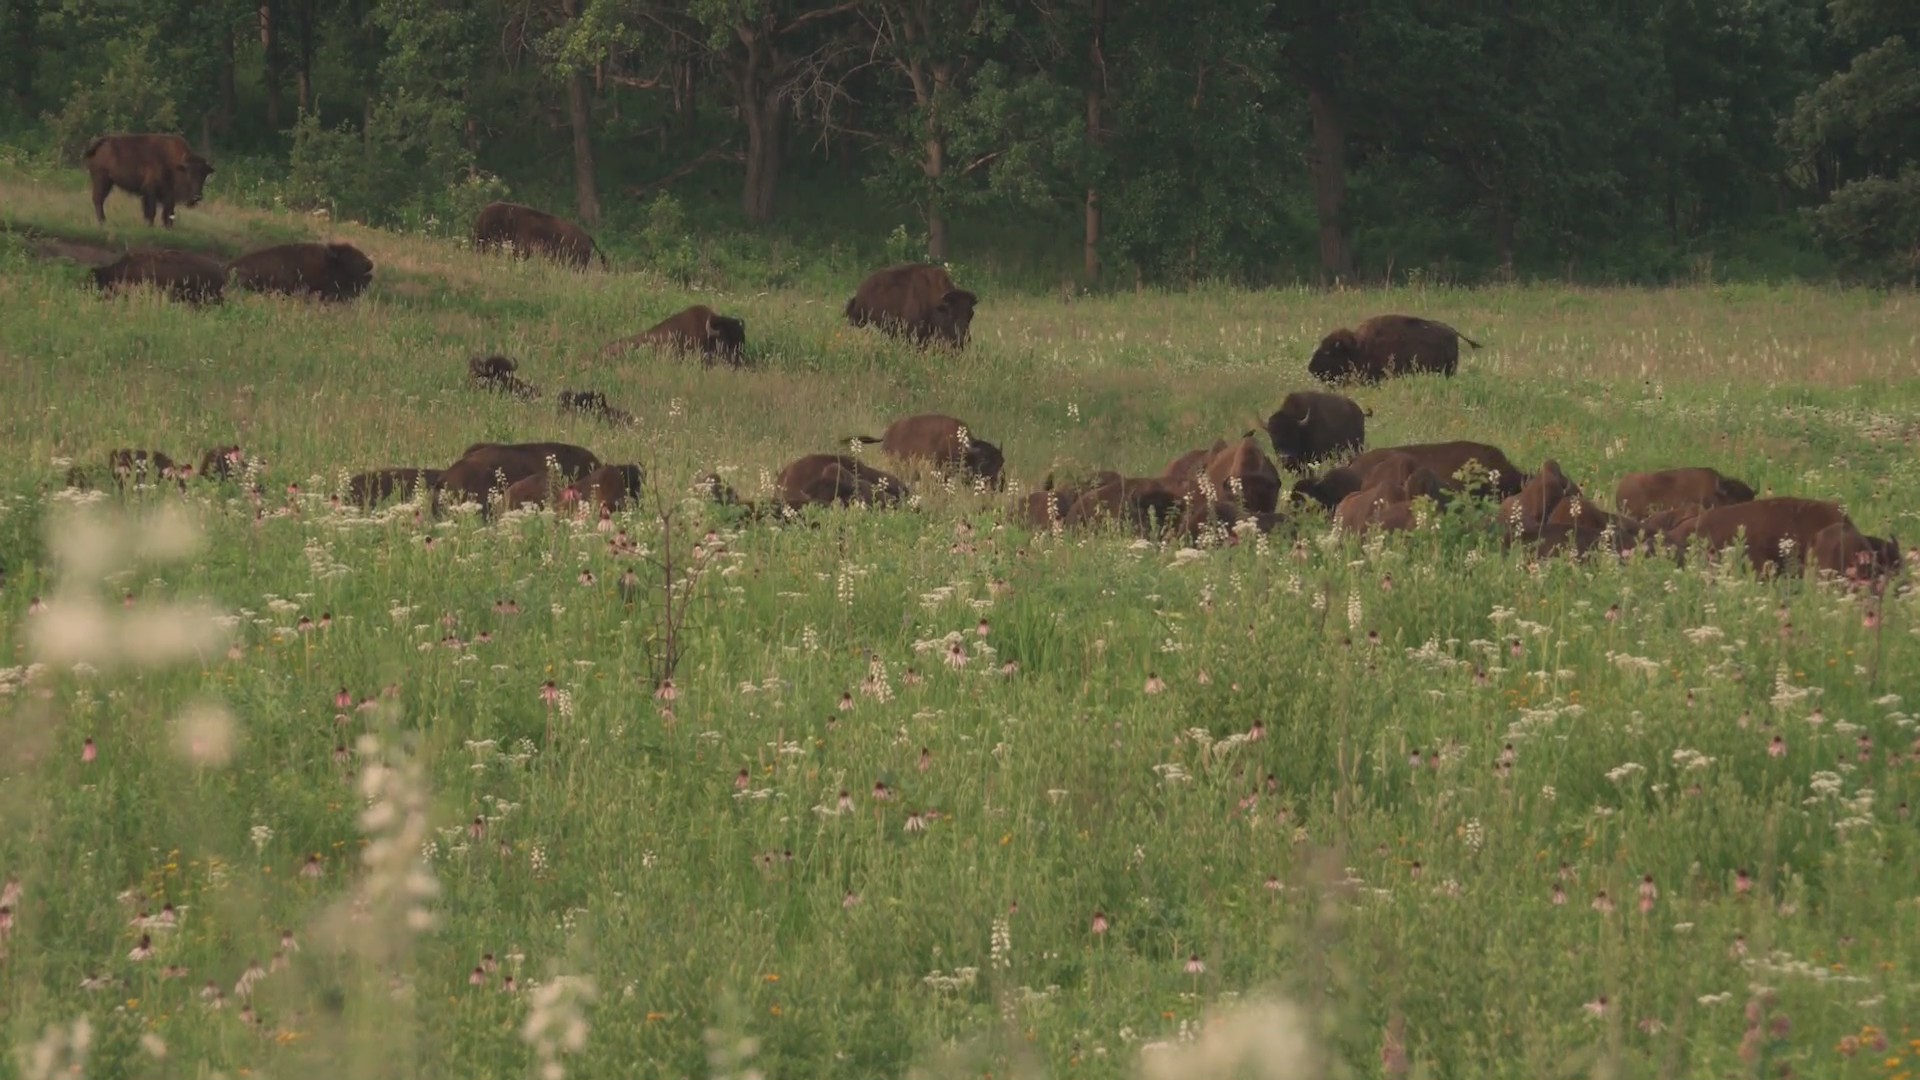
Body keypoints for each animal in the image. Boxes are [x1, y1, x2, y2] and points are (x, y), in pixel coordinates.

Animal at [83, 134, 214, 228]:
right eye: (188, 173)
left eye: (204, 175)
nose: (197, 197)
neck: (175, 165)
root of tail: (101, 142)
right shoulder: (151, 191)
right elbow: (152, 211)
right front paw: (150, 226)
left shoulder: (168, 196)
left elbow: (168, 212)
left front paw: (167, 227)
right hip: (102, 181)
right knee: (98, 200)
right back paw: (103, 222)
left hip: (107, 182)